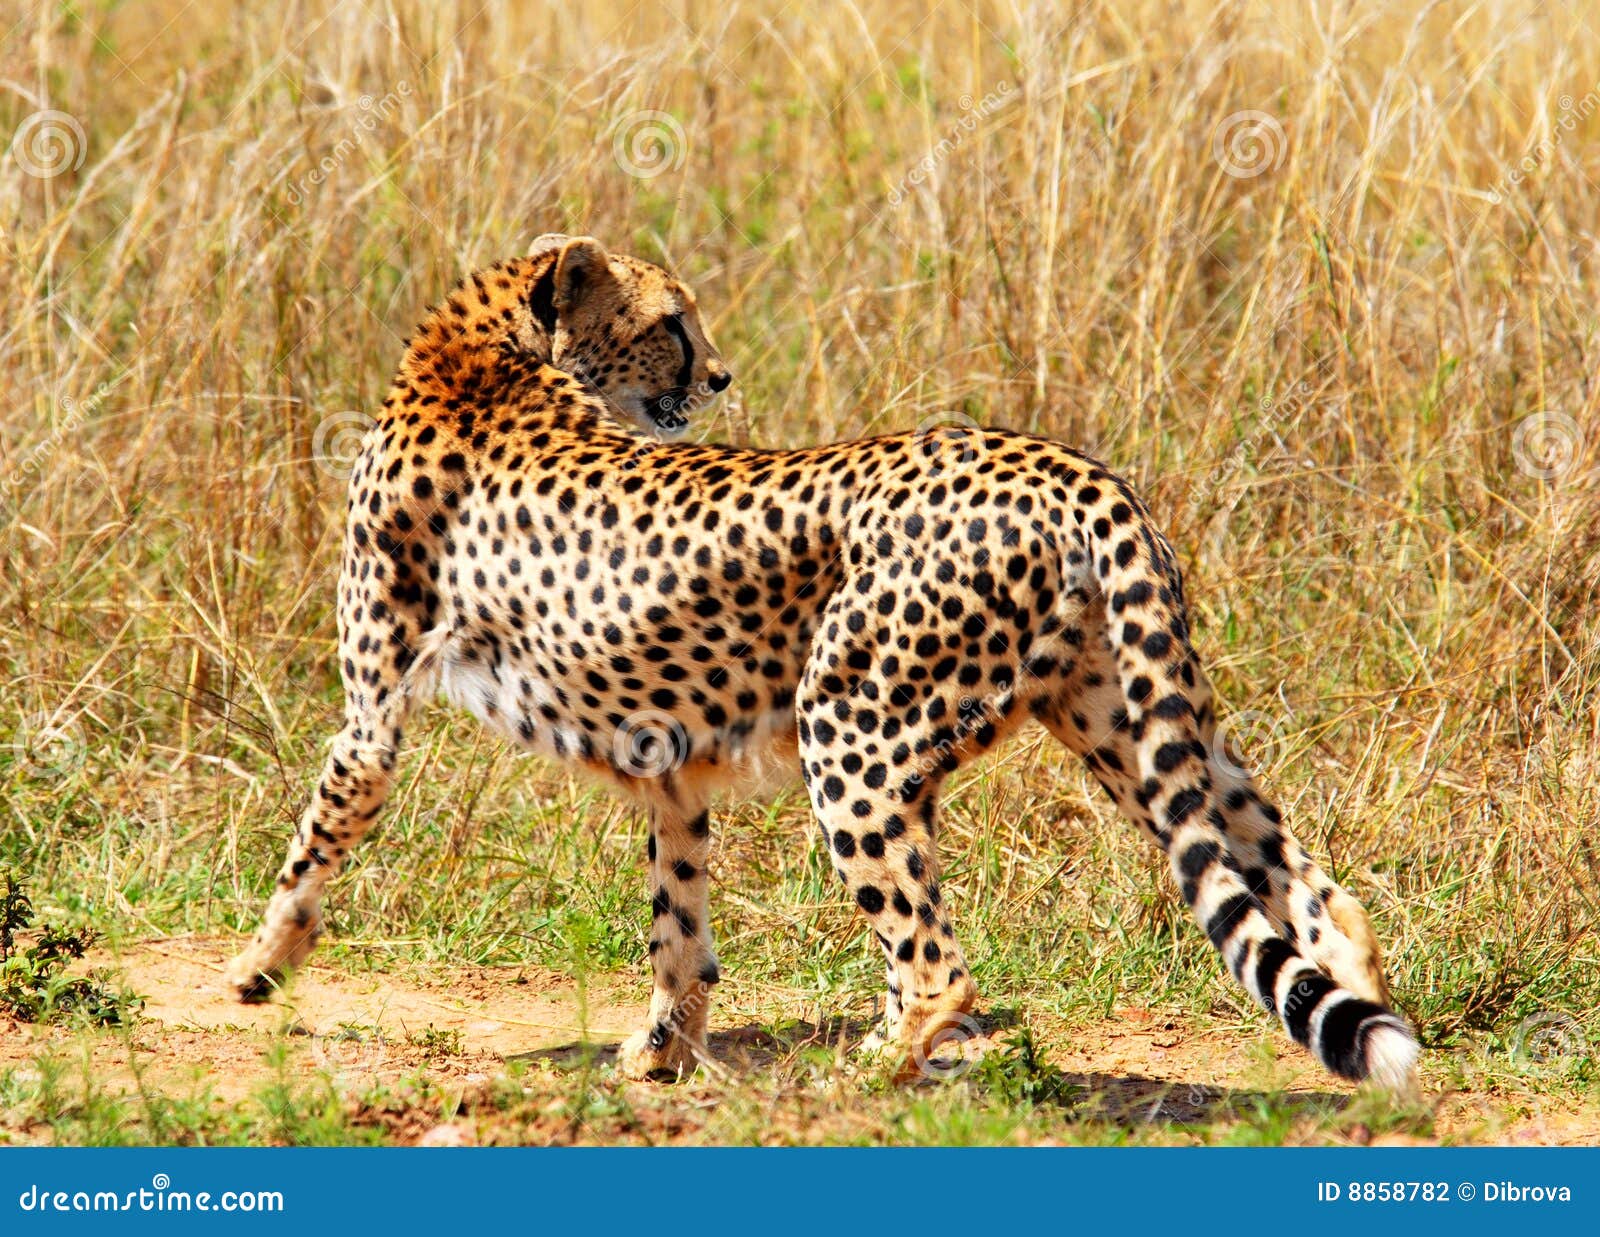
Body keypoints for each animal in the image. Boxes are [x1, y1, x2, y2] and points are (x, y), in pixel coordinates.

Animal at [227, 233, 1420, 1092]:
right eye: (669, 323)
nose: (717, 374)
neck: (492, 358)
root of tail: (1064, 463)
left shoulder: (371, 714)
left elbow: (317, 830)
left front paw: (258, 962)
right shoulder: (669, 758)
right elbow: (678, 919)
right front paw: (661, 1050)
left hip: (851, 729)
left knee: (935, 961)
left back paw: (869, 1071)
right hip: (1122, 721)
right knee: (1303, 882)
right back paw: (1364, 1020)